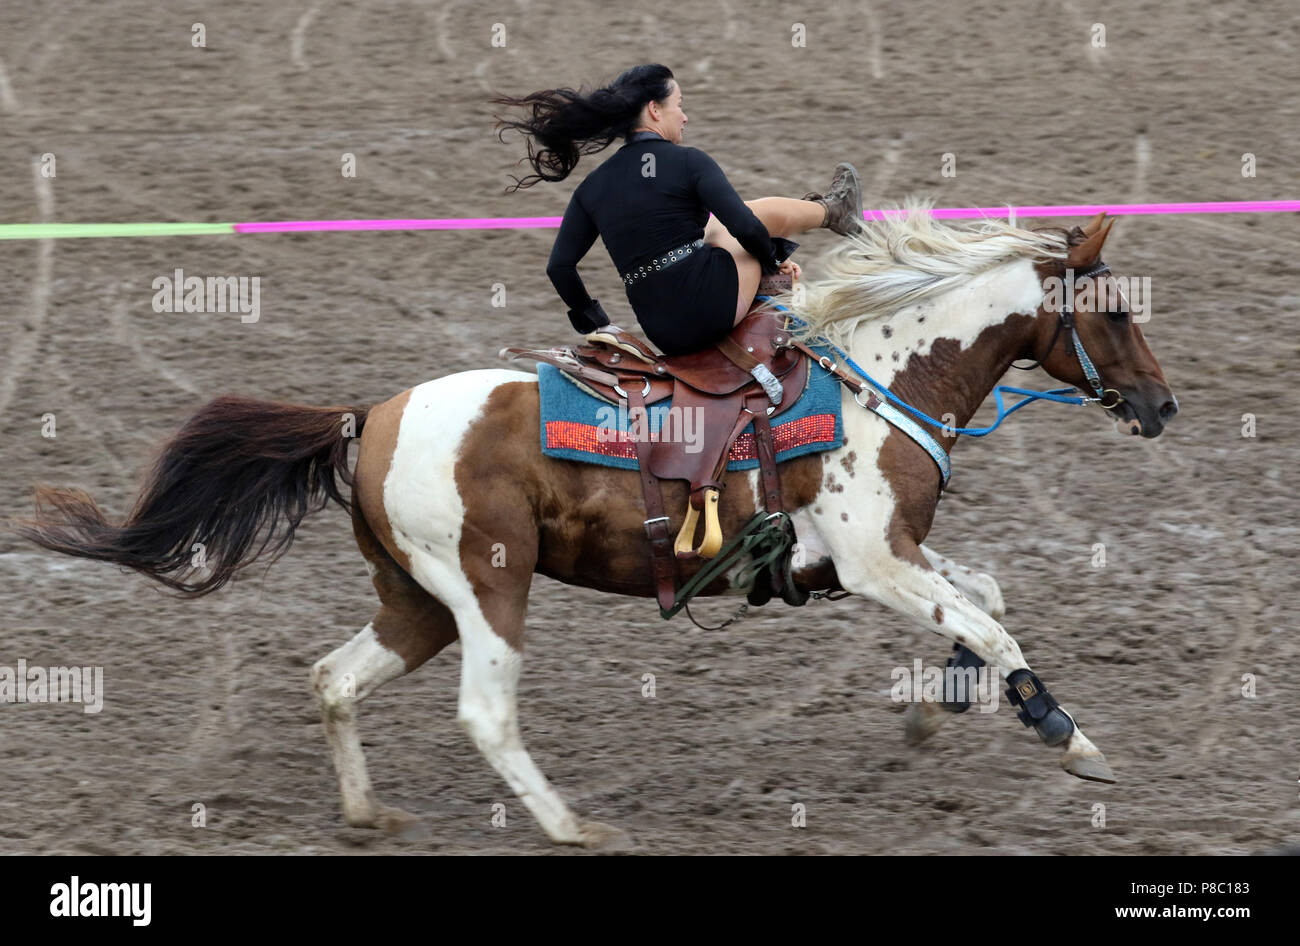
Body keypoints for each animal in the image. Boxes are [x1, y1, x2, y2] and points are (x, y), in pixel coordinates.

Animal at [14, 207, 1177, 849]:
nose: (1163, 408)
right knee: (485, 713)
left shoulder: (887, 557)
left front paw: (942, 707)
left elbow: (983, 596)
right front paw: (1071, 741)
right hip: (489, 586)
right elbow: (991, 622)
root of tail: (366, 416)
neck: (882, 374)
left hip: (415, 601)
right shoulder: (868, 560)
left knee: (333, 679)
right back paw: (572, 826)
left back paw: (367, 817)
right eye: (1118, 310)